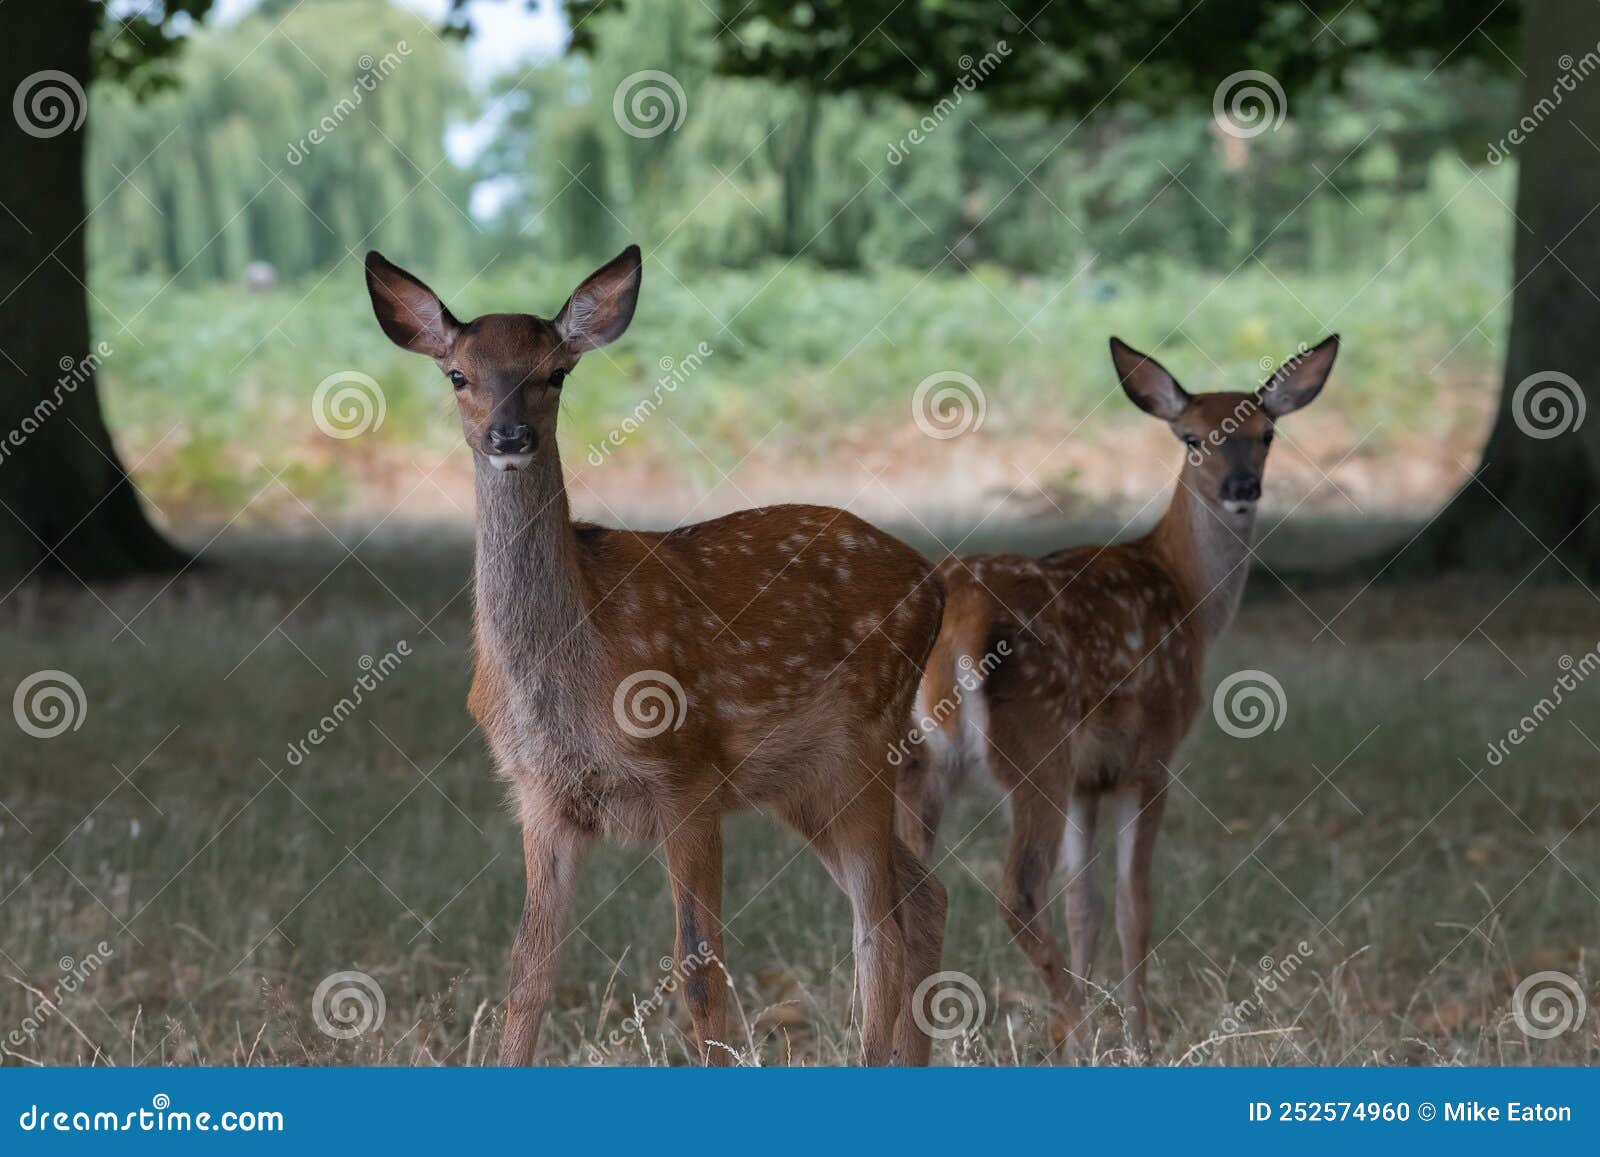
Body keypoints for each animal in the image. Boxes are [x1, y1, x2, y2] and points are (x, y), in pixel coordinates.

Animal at [363, 245, 949, 1066]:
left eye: (555, 372)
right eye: (457, 374)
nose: (509, 437)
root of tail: (937, 579)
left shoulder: (688, 773)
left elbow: (699, 968)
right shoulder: (540, 796)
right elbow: (527, 970)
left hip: (865, 742)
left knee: (881, 930)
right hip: (801, 783)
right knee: (925, 896)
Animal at [895, 334, 1338, 1061]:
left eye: (1267, 434)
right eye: (1191, 438)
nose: (1241, 488)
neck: (1187, 594)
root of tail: (957, 616)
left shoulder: (1087, 779)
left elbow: (1087, 906)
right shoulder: (1148, 757)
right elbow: (1135, 904)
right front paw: (1138, 1037)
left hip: (922, 762)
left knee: (907, 891)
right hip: (1035, 746)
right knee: (1017, 891)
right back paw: (1070, 1029)